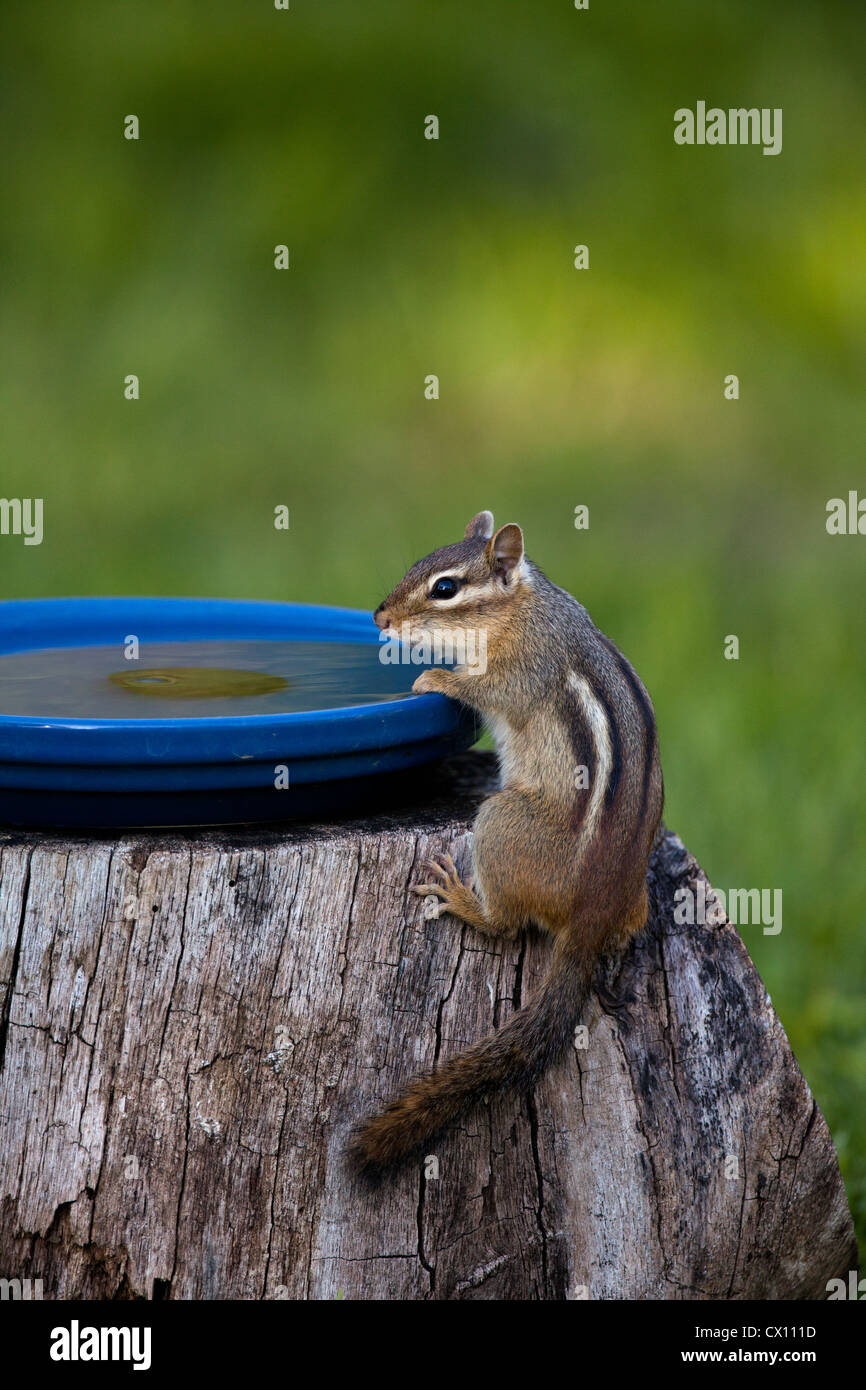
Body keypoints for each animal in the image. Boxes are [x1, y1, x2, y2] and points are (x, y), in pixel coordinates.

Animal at [349, 510, 663, 1172]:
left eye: (444, 588)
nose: (380, 618)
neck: (521, 607)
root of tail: (589, 920)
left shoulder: (521, 671)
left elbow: (486, 689)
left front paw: (433, 677)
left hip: (498, 821)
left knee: (507, 924)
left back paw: (461, 897)